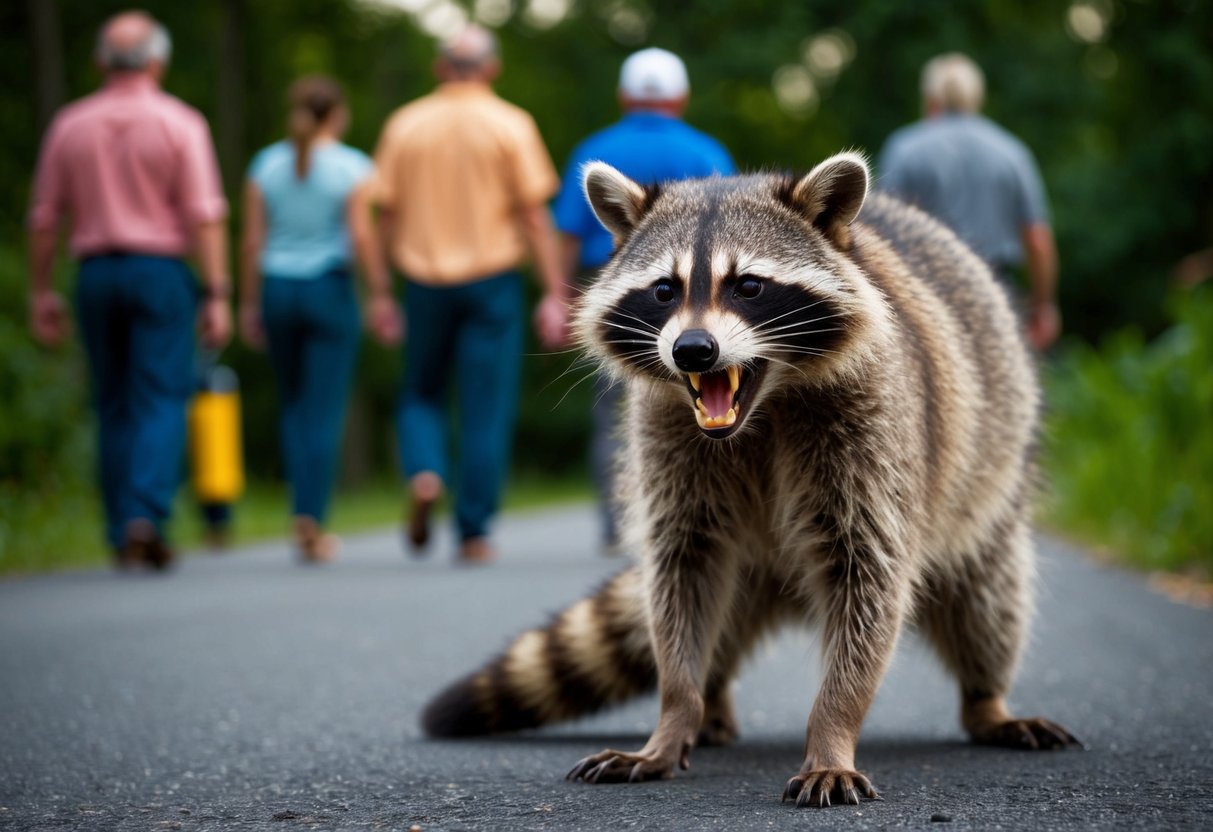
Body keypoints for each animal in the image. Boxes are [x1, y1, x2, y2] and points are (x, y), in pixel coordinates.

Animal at [422, 152, 1079, 807]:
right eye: (664, 290)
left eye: (749, 286)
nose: (692, 350)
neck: (762, 409)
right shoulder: (669, 440)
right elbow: (680, 574)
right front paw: (672, 715)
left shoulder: (878, 434)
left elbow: (869, 577)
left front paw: (833, 727)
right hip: (741, 570)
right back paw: (707, 705)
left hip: (992, 482)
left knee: (989, 596)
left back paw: (986, 699)